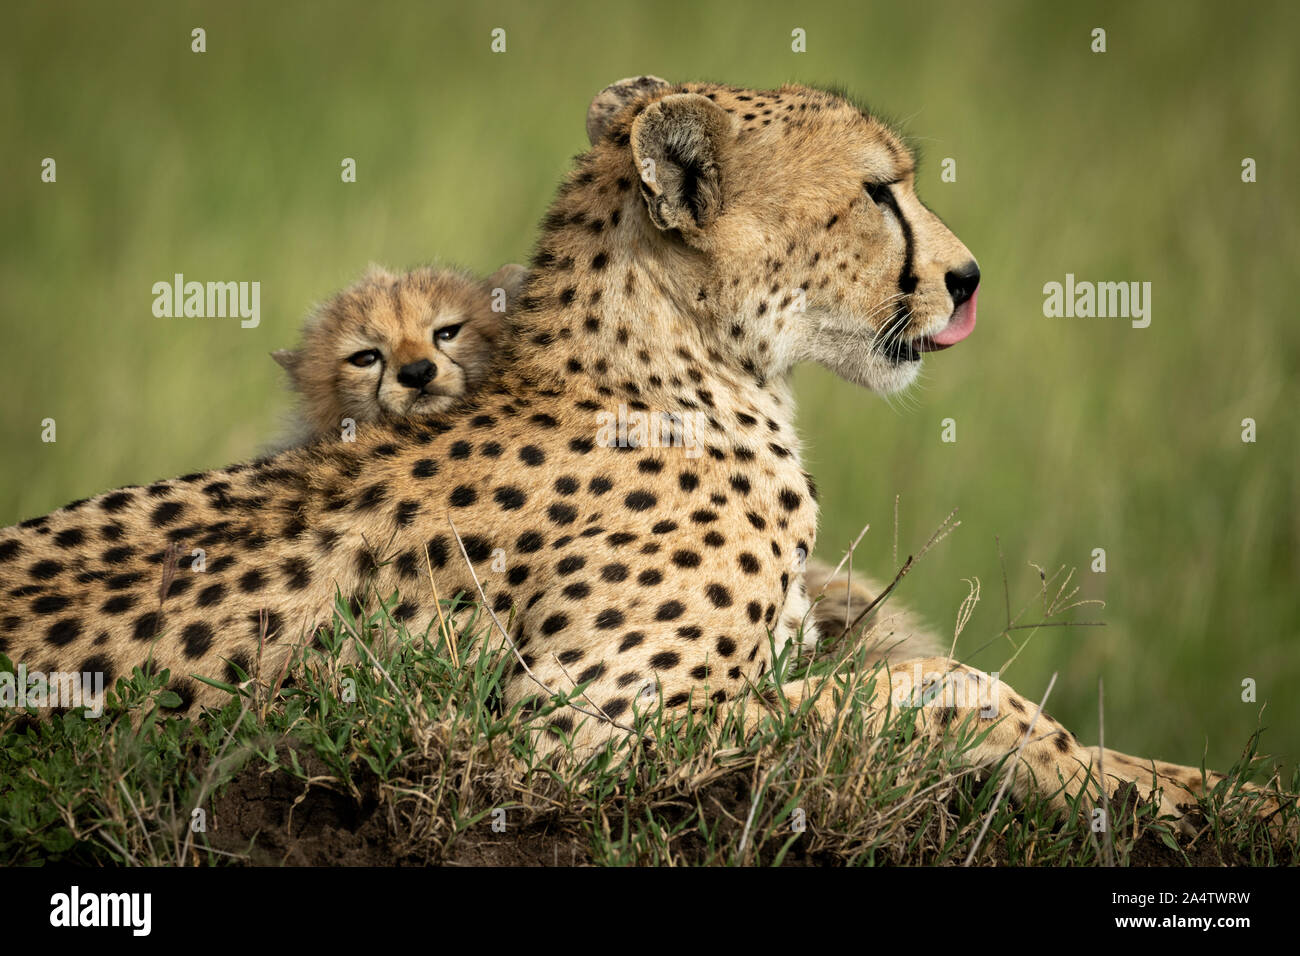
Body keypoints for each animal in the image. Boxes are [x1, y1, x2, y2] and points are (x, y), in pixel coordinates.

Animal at [0, 76, 1280, 831]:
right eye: (878, 191)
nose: (966, 279)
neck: (682, 361)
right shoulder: (567, 732)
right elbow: (946, 687)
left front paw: (1212, 790)